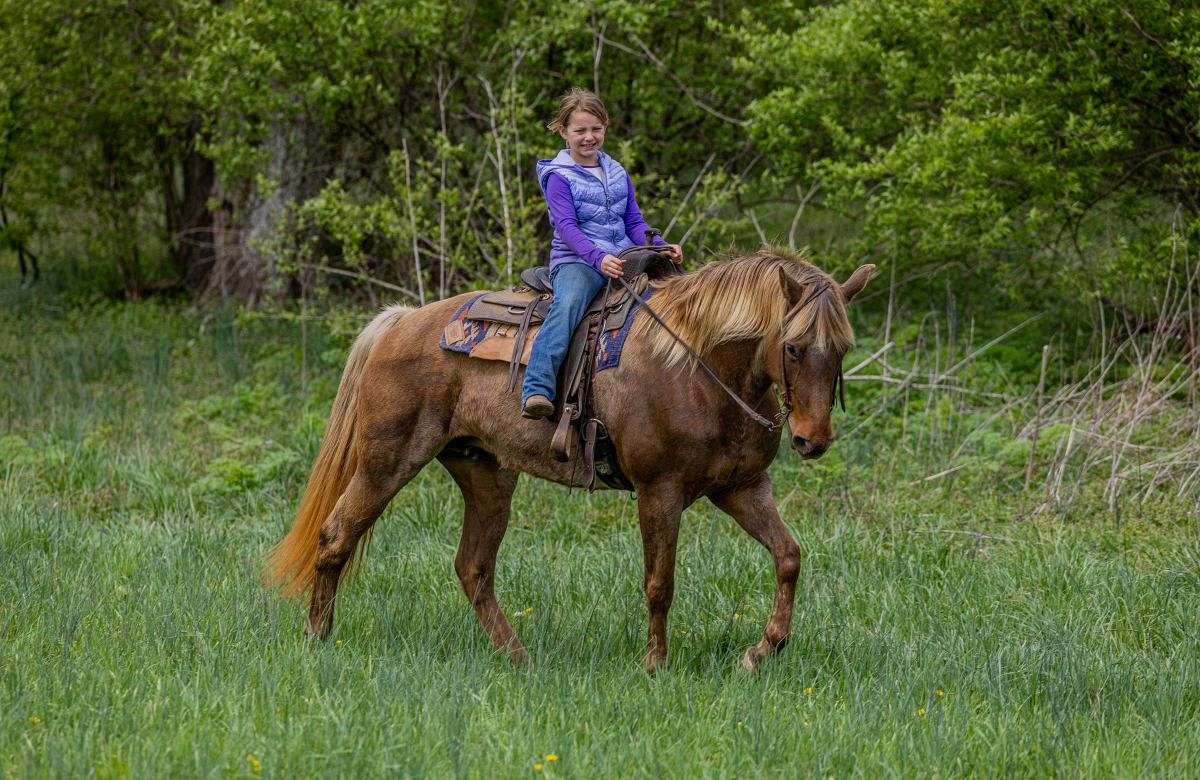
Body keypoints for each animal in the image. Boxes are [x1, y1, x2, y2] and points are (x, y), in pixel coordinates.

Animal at [266, 248, 875, 672]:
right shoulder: (660, 492)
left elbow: (789, 557)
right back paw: (316, 639)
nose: (812, 440)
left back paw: (517, 657)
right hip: (386, 460)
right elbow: (660, 582)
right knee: (336, 536)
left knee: (473, 567)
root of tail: (400, 321)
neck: (696, 365)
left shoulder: (741, 487)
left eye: (841, 349)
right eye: (794, 347)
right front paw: (656, 667)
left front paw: (760, 651)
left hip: (485, 472)